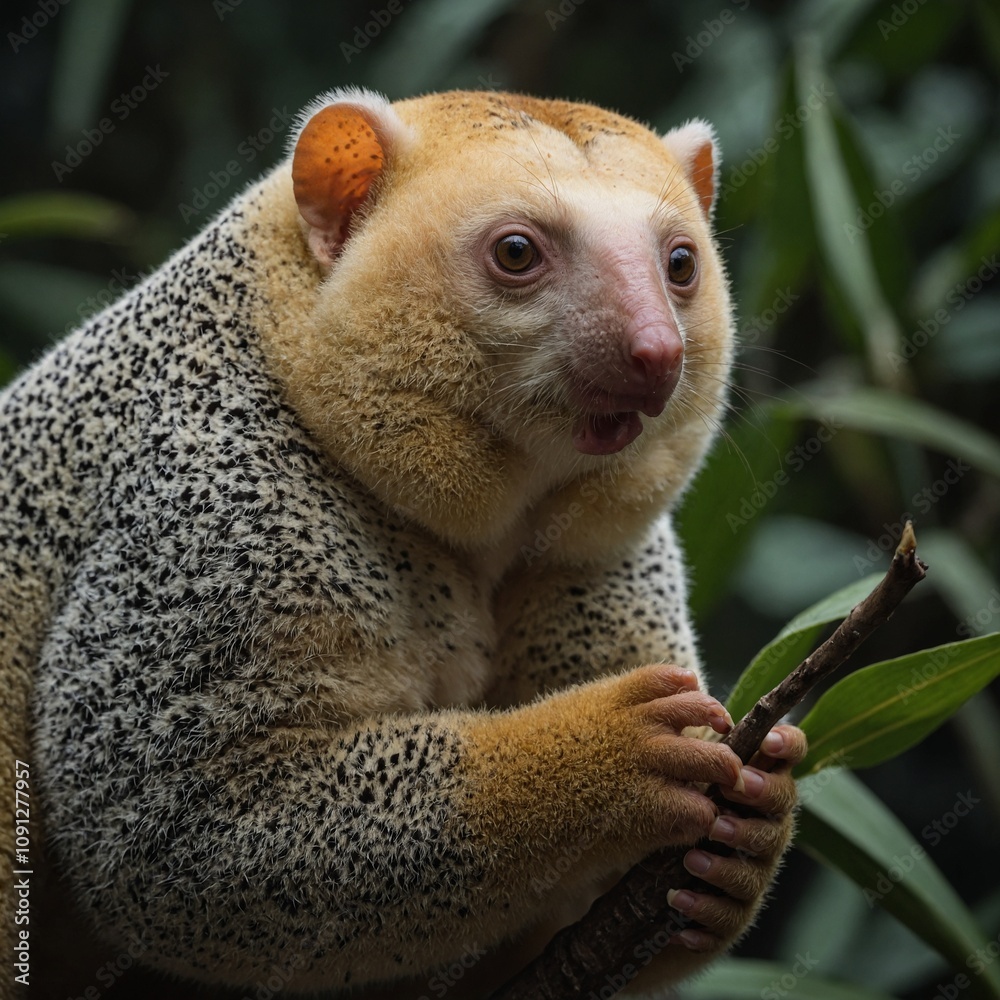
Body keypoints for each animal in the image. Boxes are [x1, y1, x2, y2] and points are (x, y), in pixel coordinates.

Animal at [0, 88, 805, 998]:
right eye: (517, 253)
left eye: (680, 265)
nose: (655, 352)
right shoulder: (212, 504)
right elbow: (165, 831)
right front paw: (605, 764)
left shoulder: (603, 551)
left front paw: (750, 834)